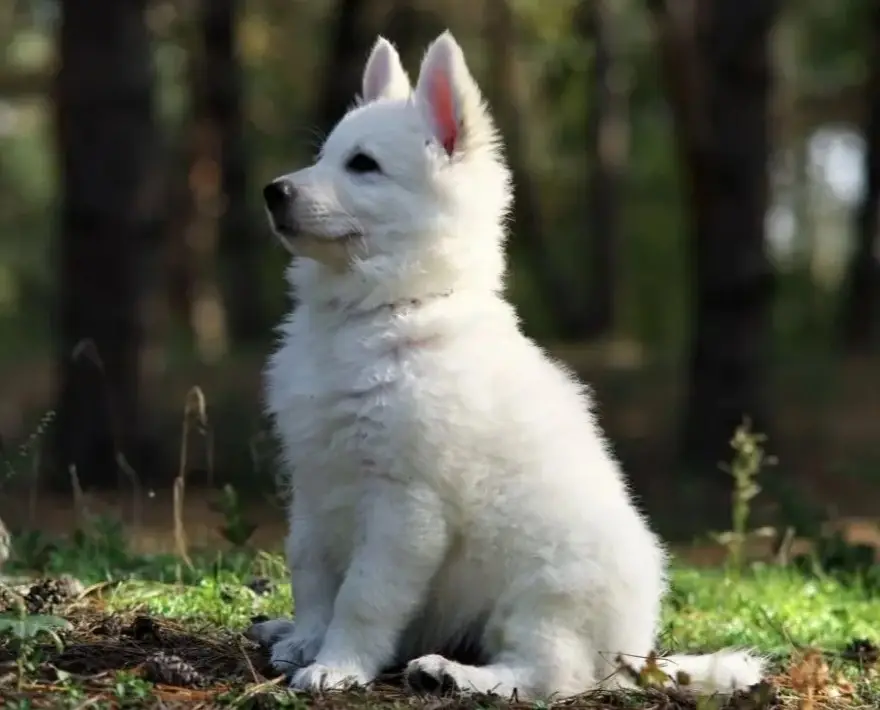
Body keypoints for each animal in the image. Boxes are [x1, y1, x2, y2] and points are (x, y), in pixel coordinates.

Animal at [249, 32, 764, 700]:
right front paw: (306, 638)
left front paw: (338, 664)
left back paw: (452, 672)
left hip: (540, 595)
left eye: (362, 165)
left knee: (549, 676)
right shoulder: (312, 480)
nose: (273, 191)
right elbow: (309, 570)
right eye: (325, 156)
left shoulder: (405, 501)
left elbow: (364, 595)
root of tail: (635, 654)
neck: (379, 312)